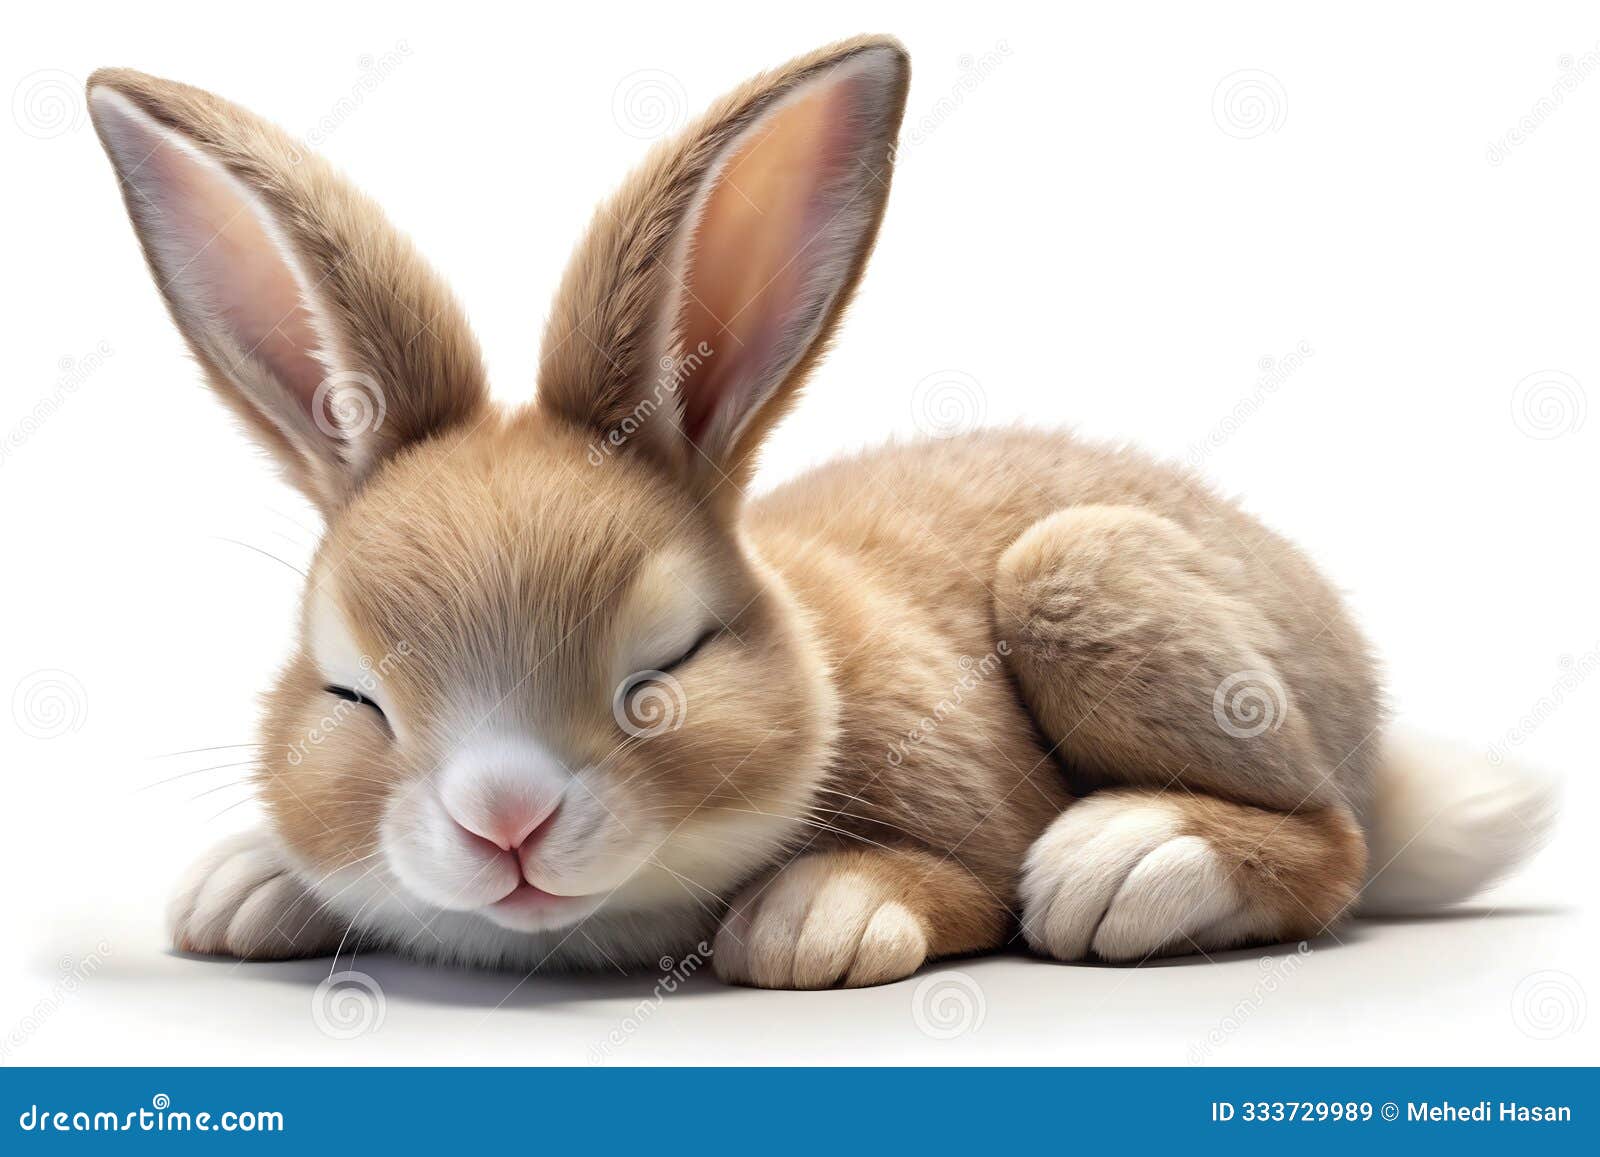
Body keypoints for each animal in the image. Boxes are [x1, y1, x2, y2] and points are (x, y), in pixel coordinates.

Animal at [89, 36, 1555, 989]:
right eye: (348, 693)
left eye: (669, 661)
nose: (504, 824)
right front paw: (243, 886)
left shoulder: (967, 799)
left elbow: (958, 883)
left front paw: (817, 919)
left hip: (1088, 580)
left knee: (1334, 842)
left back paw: (1131, 856)